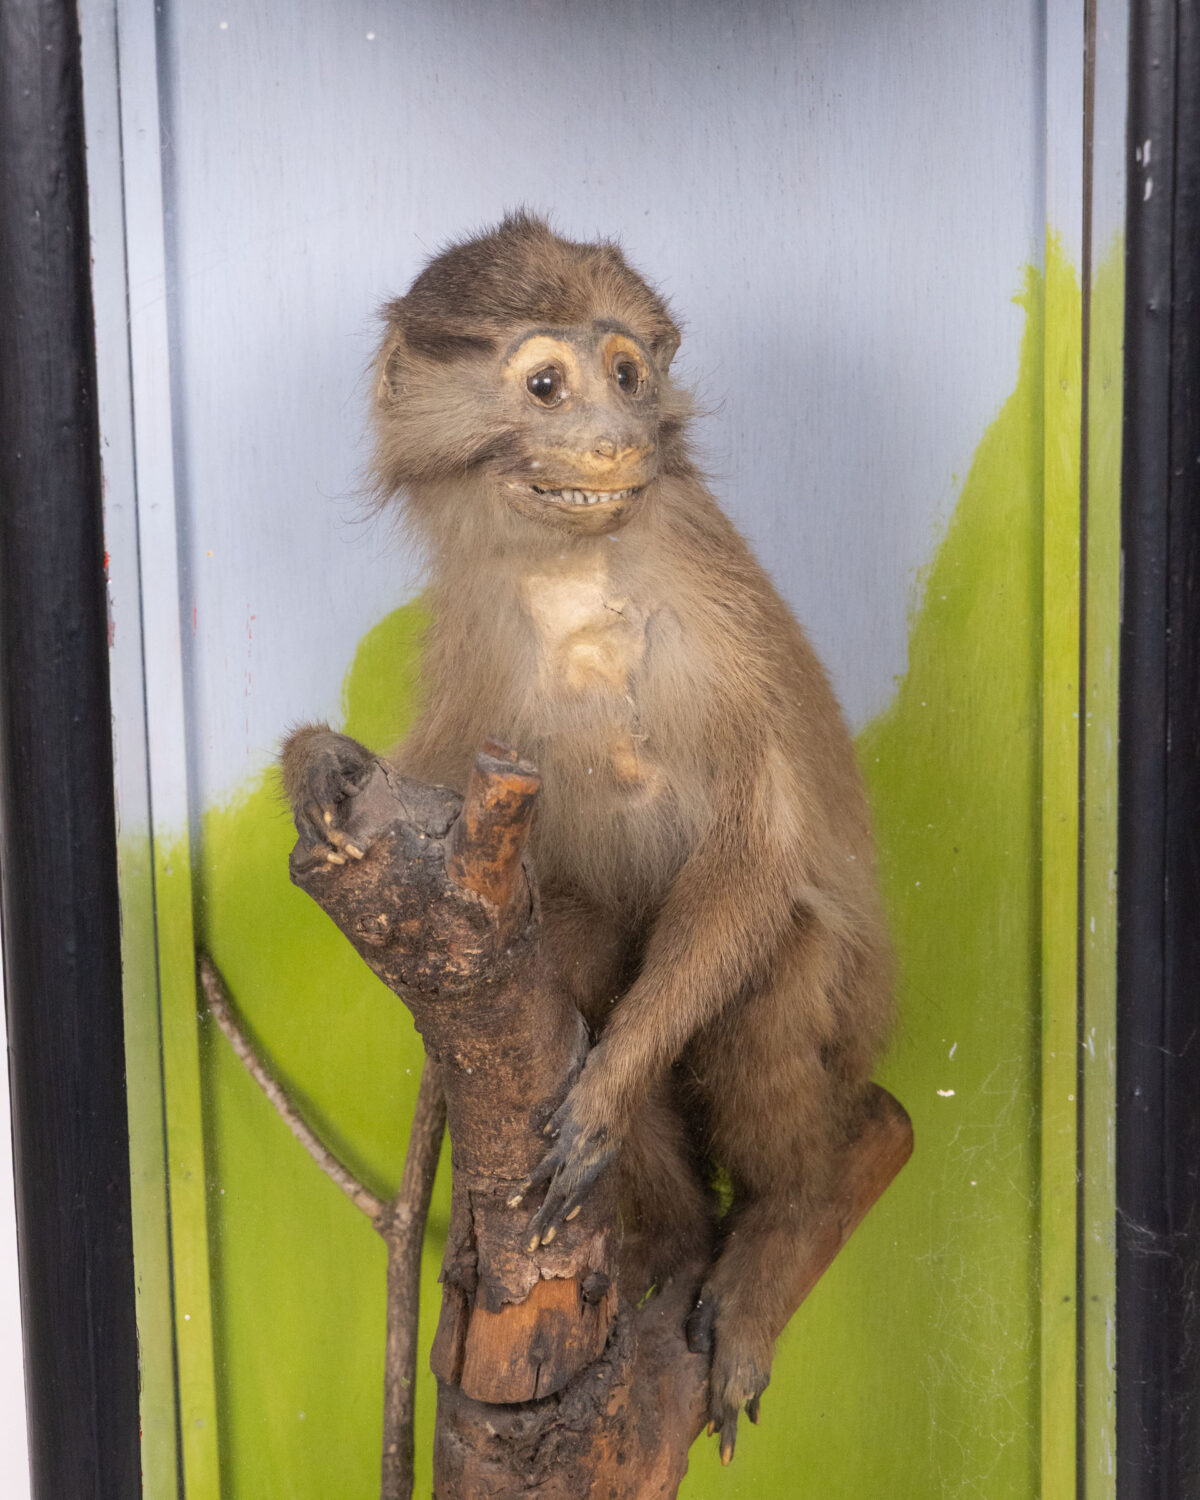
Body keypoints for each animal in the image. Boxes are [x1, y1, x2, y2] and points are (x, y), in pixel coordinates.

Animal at [282, 212, 893, 1462]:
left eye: (627, 372)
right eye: (545, 385)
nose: (615, 436)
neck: (578, 580)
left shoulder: (714, 616)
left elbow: (759, 860)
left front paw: (607, 1090)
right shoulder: (476, 635)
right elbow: (423, 782)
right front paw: (321, 762)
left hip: (851, 1018)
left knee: (765, 996)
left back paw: (772, 1233)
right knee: (570, 947)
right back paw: (675, 1244)